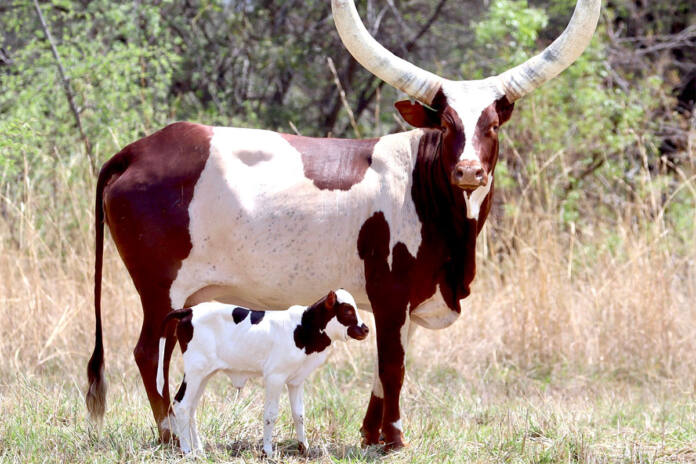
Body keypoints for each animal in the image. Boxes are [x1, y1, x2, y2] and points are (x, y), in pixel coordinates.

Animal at [155, 289, 368, 456]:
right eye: (347, 310)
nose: (366, 329)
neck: (301, 329)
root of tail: (189, 310)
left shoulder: (296, 381)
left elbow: (299, 414)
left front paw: (305, 449)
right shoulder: (275, 377)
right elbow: (270, 414)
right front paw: (267, 451)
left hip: (204, 374)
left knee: (191, 407)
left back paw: (198, 449)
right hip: (195, 371)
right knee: (181, 404)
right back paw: (186, 450)